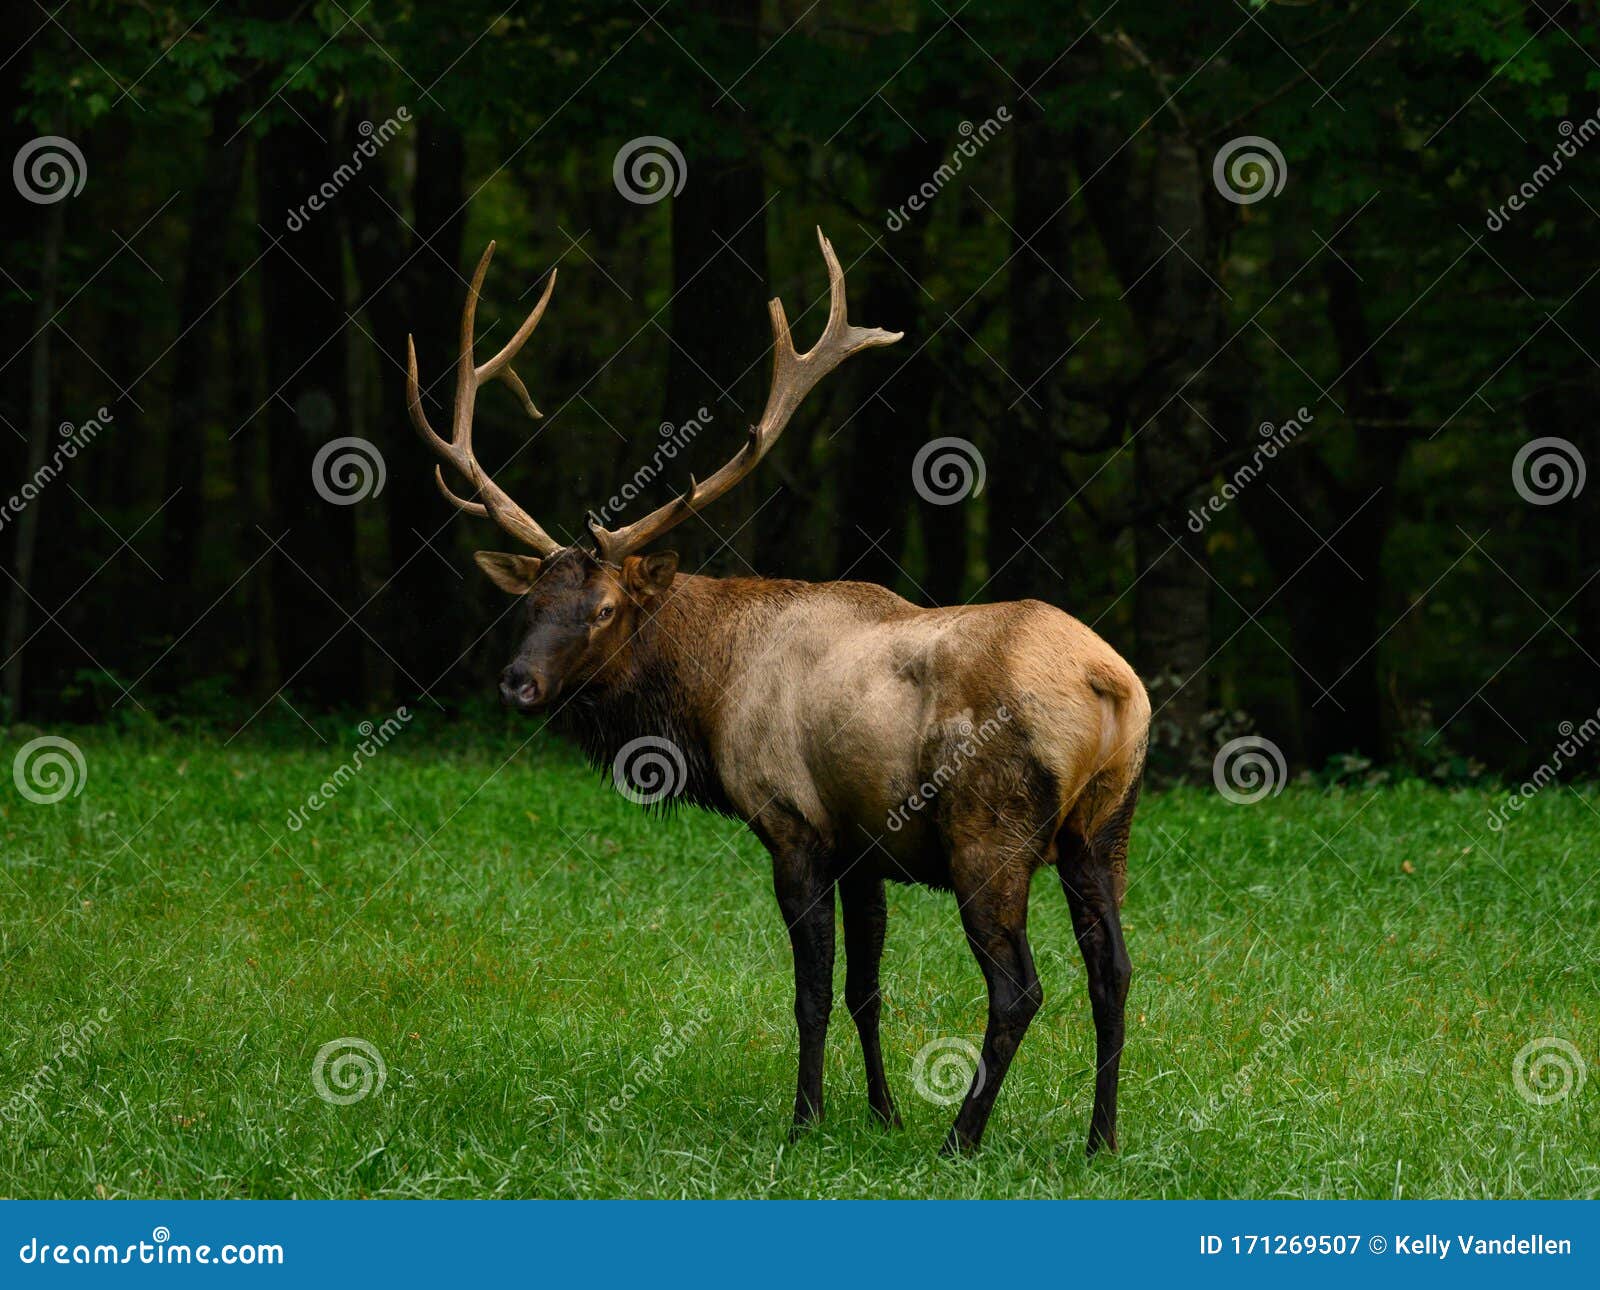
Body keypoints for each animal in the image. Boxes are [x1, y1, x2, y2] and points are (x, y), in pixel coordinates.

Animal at [406, 229, 1151, 1156]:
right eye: (530, 603)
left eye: (605, 608)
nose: (518, 682)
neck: (708, 694)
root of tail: (1109, 685)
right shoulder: (867, 842)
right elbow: (868, 988)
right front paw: (881, 1112)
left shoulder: (792, 821)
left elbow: (812, 992)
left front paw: (805, 1121)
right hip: (1105, 823)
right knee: (1114, 969)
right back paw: (1101, 1140)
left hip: (992, 830)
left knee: (1021, 986)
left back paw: (963, 1138)